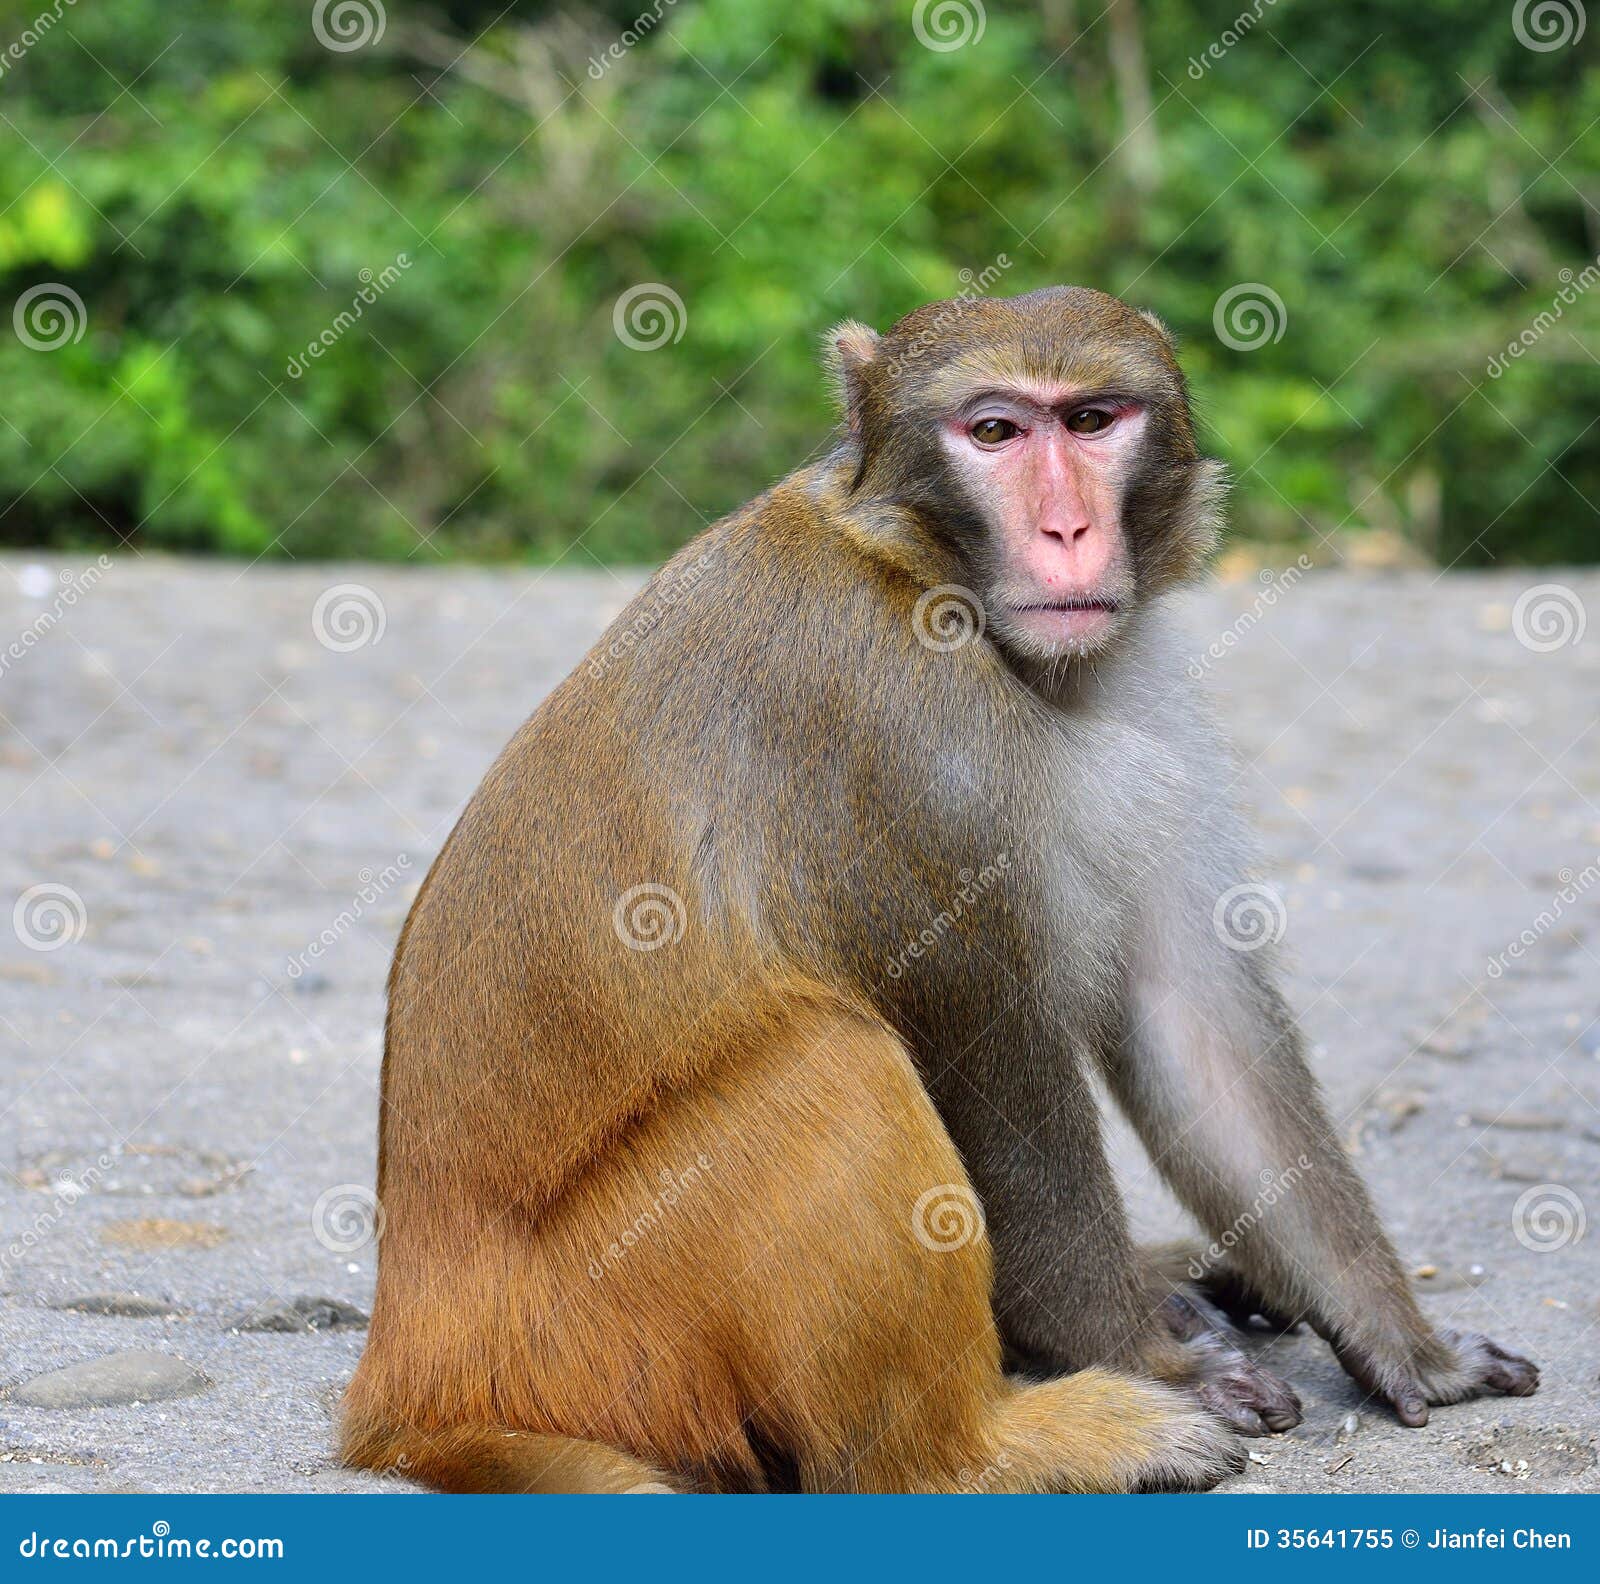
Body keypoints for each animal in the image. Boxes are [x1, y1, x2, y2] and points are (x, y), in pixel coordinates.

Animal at [341, 286, 1537, 1495]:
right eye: (994, 432)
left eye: (1092, 420)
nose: (1066, 533)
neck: (922, 573)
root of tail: (411, 1380)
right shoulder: (912, 729)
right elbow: (985, 1055)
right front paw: (1149, 1359)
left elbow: (1189, 1024)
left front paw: (1398, 1340)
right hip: (602, 1333)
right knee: (832, 1064)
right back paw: (994, 1446)